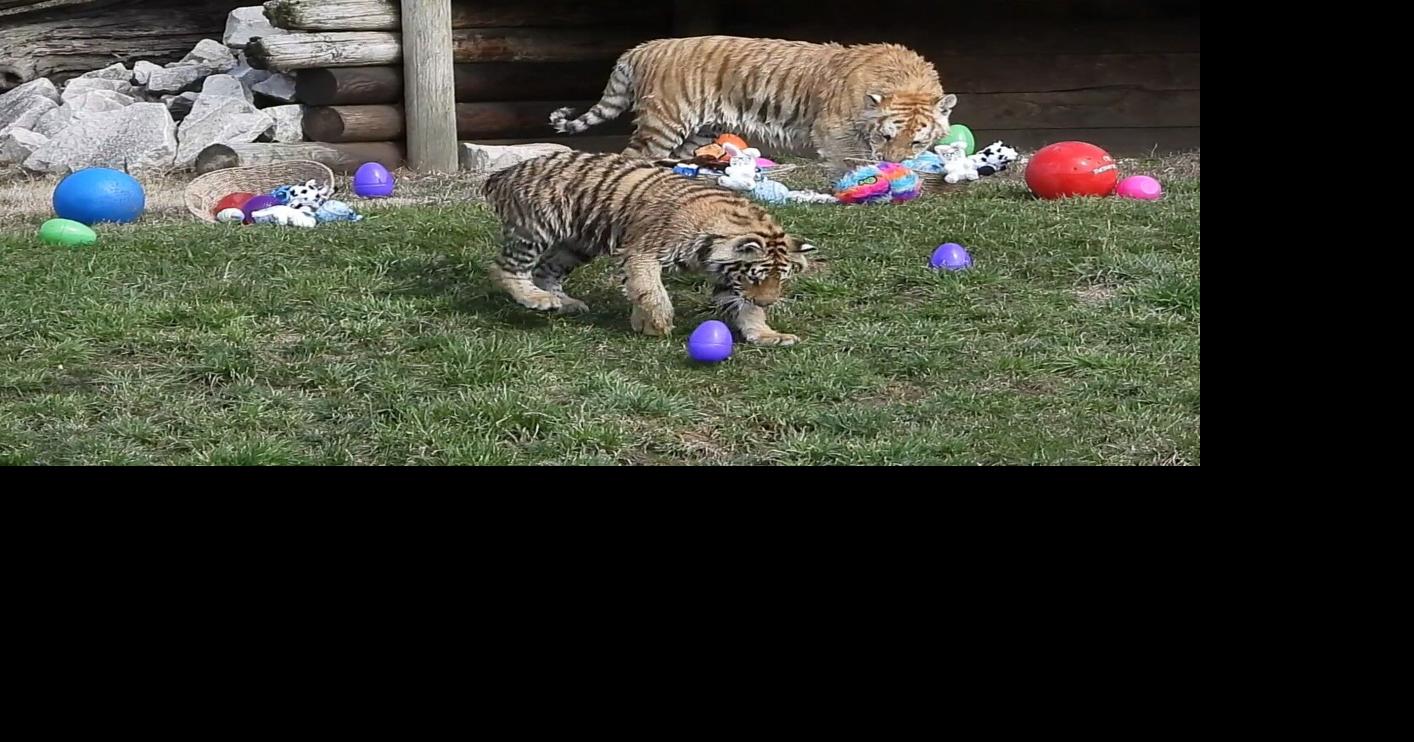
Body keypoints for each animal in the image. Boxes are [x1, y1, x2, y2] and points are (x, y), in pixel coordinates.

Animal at [480, 150, 816, 346]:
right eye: (755, 276)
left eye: (780, 279)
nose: (768, 302)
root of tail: (503, 174)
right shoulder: (642, 253)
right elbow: (650, 290)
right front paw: (657, 325)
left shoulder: (726, 277)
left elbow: (744, 308)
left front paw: (767, 334)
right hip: (537, 228)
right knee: (504, 269)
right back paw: (538, 299)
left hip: (576, 245)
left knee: (544, 271)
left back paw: (563, 303)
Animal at [548, 35, 957, 175]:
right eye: (886, 136)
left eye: (917, 141)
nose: (895, 162)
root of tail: (643, 47)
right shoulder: (836, 132)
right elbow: (851, 160)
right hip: (664, 123)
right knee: (632, 156)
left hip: (699, 130)